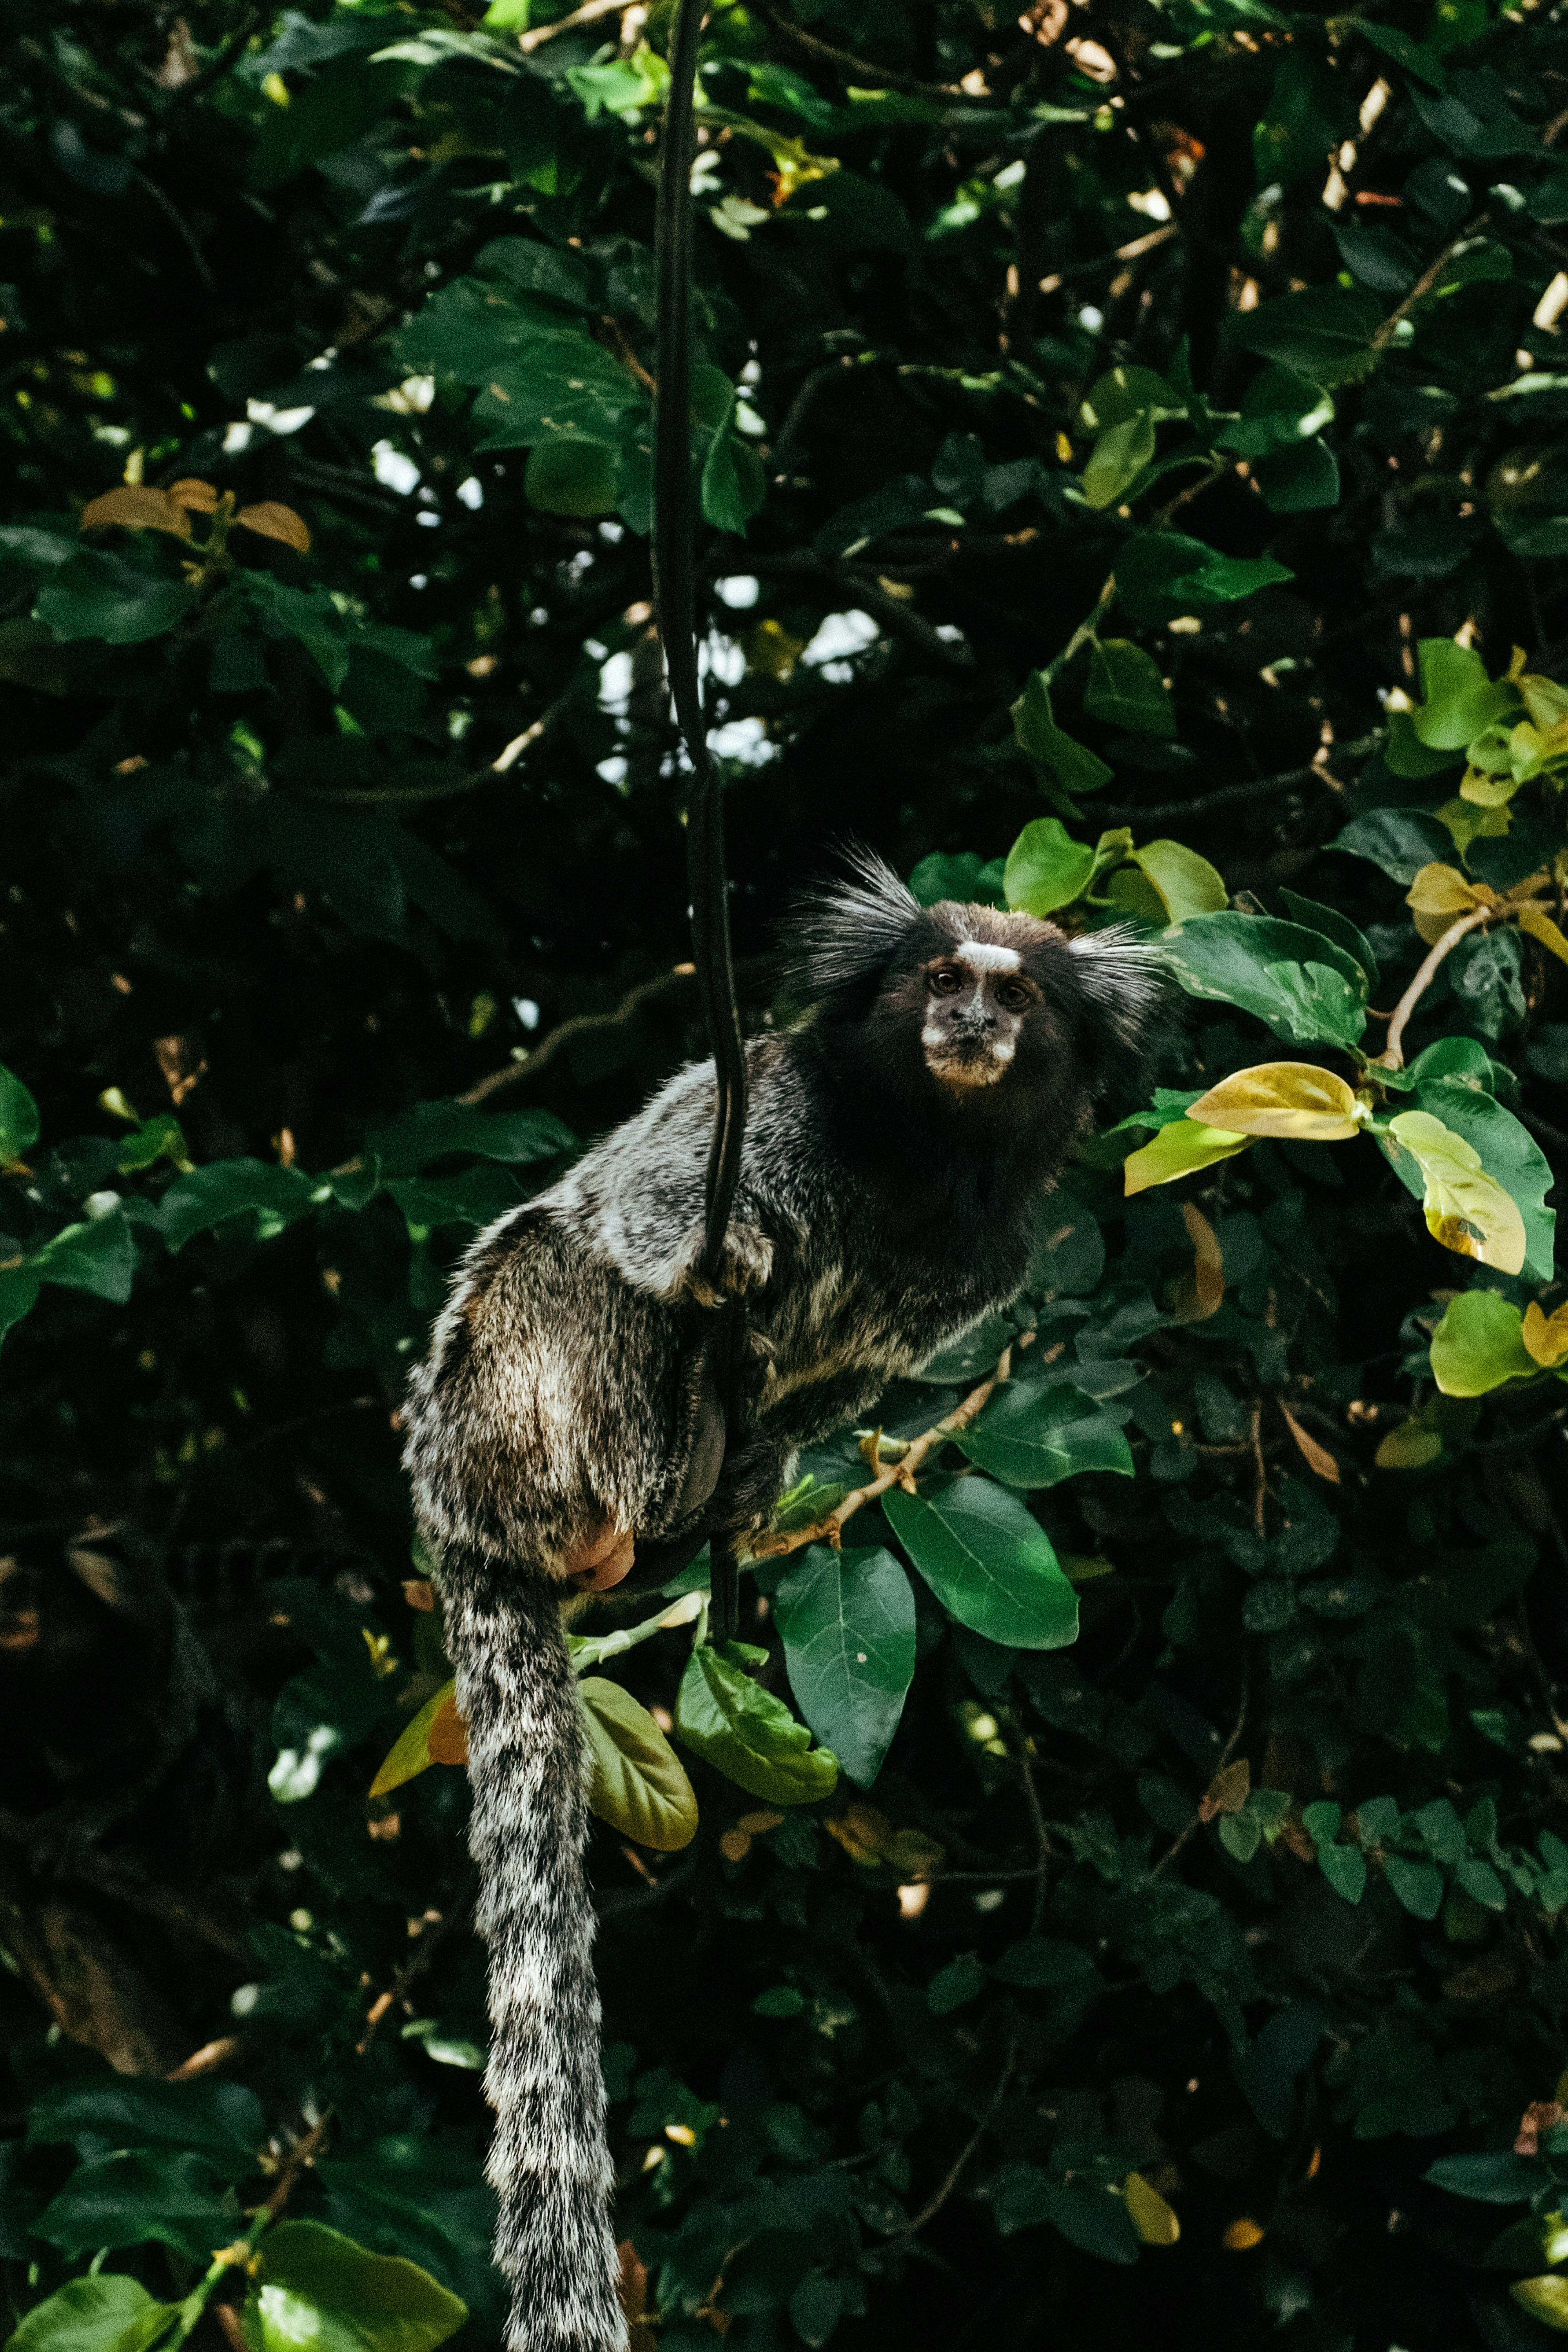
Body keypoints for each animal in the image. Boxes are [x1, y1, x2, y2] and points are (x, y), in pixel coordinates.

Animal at [401, 851, 1159, 2352]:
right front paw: (725, 1263)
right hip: (513, 1390)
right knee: (566, 1259)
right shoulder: (760, 1106)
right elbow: (637, 1207)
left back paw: (710, 1477)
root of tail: (457, 1512)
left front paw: (765, 1458)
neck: (921, 1151)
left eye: (1017, 998)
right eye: (943, 977)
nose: (969, 1027)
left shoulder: (981, 1264)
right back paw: (660, 1448)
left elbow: (844, 1388)